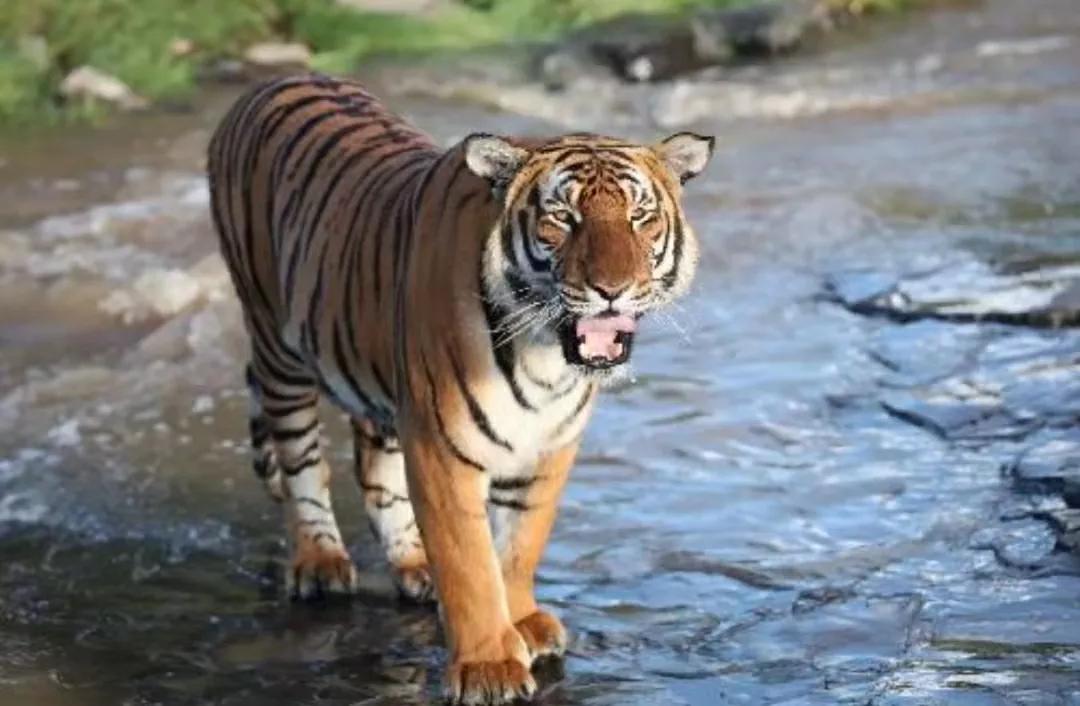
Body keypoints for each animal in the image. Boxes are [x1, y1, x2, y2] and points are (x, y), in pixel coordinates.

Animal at [206, 73, 712, 704]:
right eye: (562, 218)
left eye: (641, 216)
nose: (612, 290)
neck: (546, 359)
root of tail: (271, 82)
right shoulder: (441, 447)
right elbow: (471, 564)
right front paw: (489, 666)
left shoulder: (547, 448)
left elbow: (519, 544)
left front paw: (523, 623)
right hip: (278, 345)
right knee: (302, 462)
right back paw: (320, 561)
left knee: (373, 471)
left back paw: (413, 565)